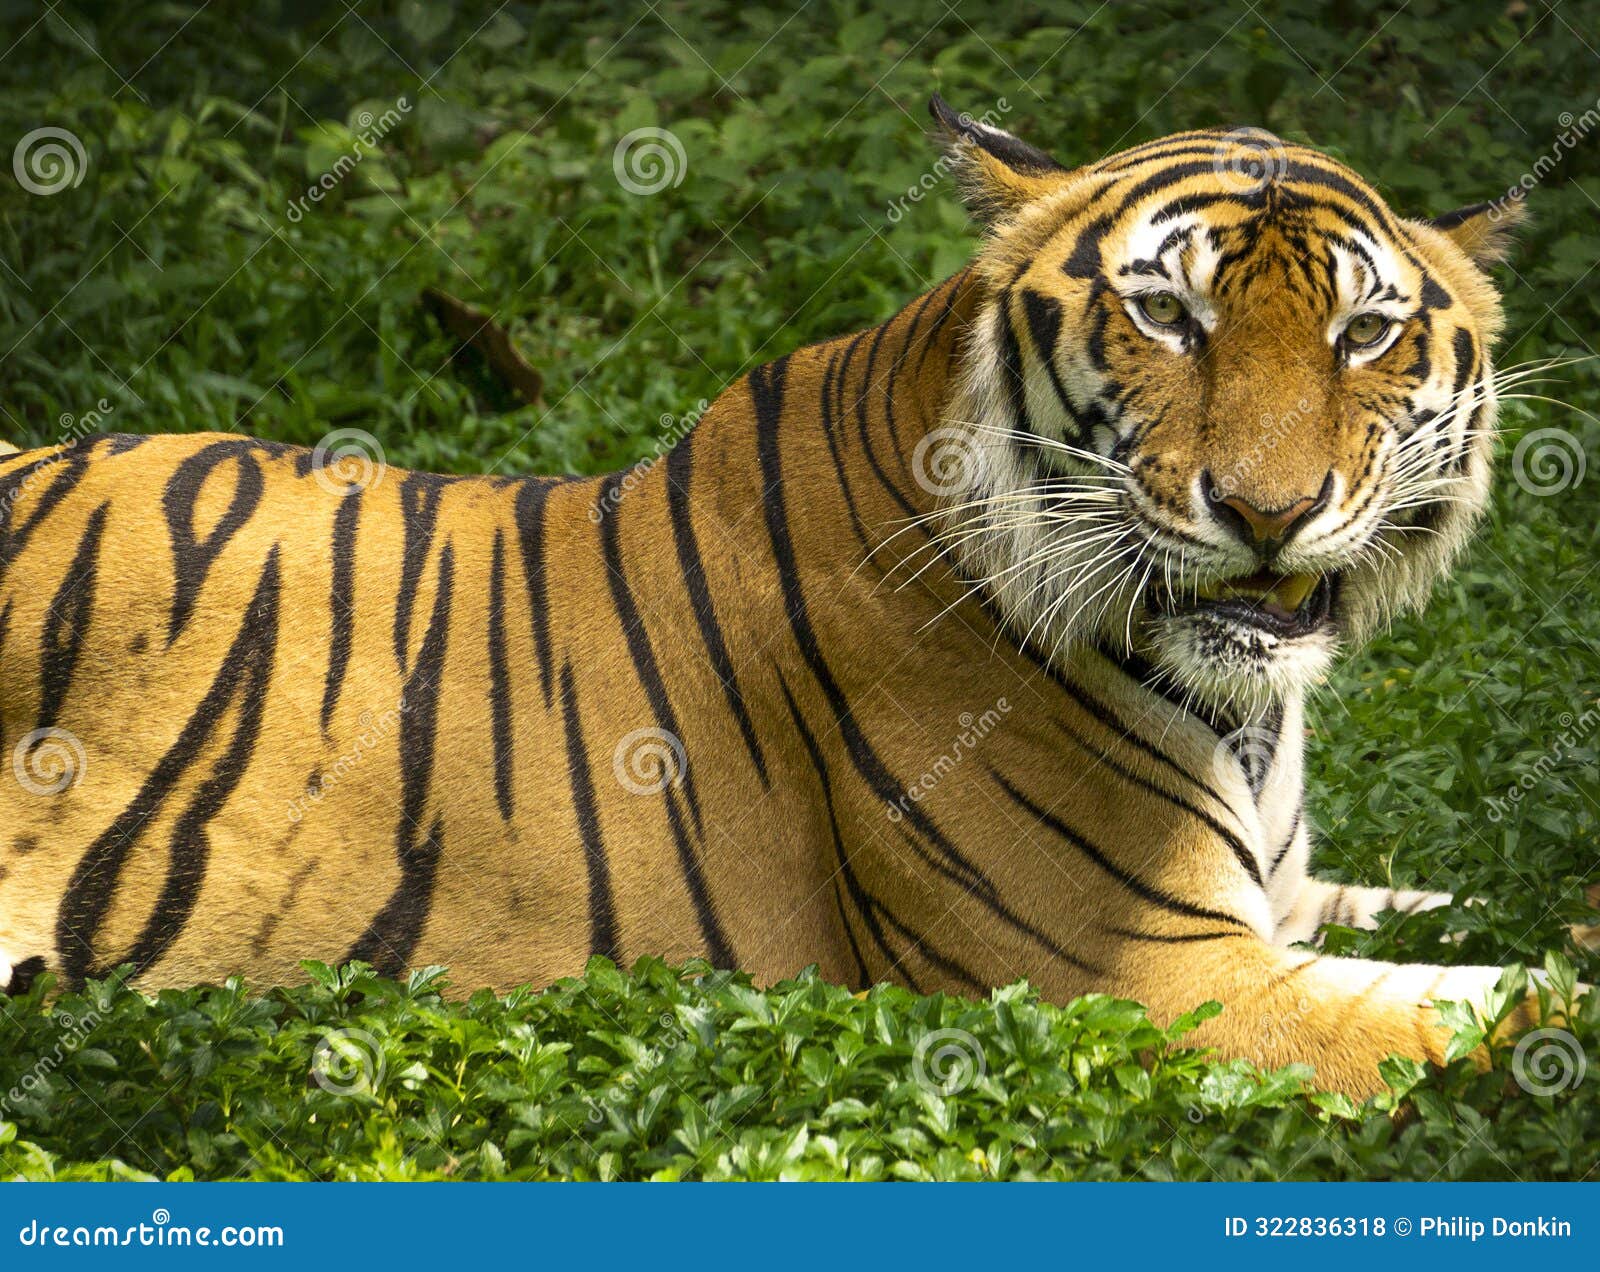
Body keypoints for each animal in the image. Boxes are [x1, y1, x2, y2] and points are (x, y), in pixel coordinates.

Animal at [0, 95, 1587, 1096]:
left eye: (1363, 333)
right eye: (1165, 316)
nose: (1266, 512)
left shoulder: (1291, 900)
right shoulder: (1153, 973)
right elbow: (1525, 1011)